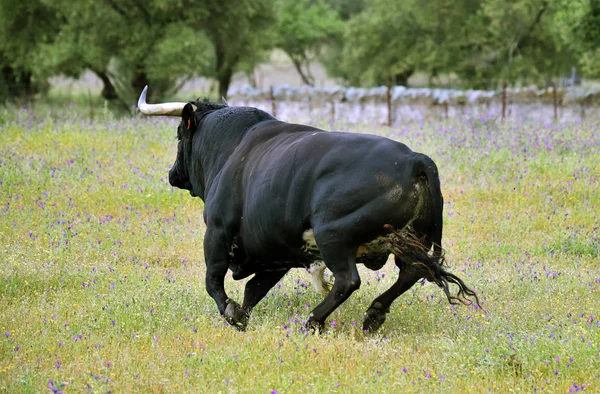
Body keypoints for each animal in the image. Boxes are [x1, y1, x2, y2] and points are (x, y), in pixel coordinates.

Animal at [138, 87, 480, 332]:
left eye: (179, 135)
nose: (172, 174)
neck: (231, 149)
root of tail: (414, 159)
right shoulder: (275, 253)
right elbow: (253, 289)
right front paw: (243, 320)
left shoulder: (217, 232)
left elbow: (214, 281)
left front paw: (232, 314)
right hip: (413, 238)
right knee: (411, 272)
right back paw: (373, 315)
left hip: (333, 233)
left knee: (348, 280)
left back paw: (314, 320)